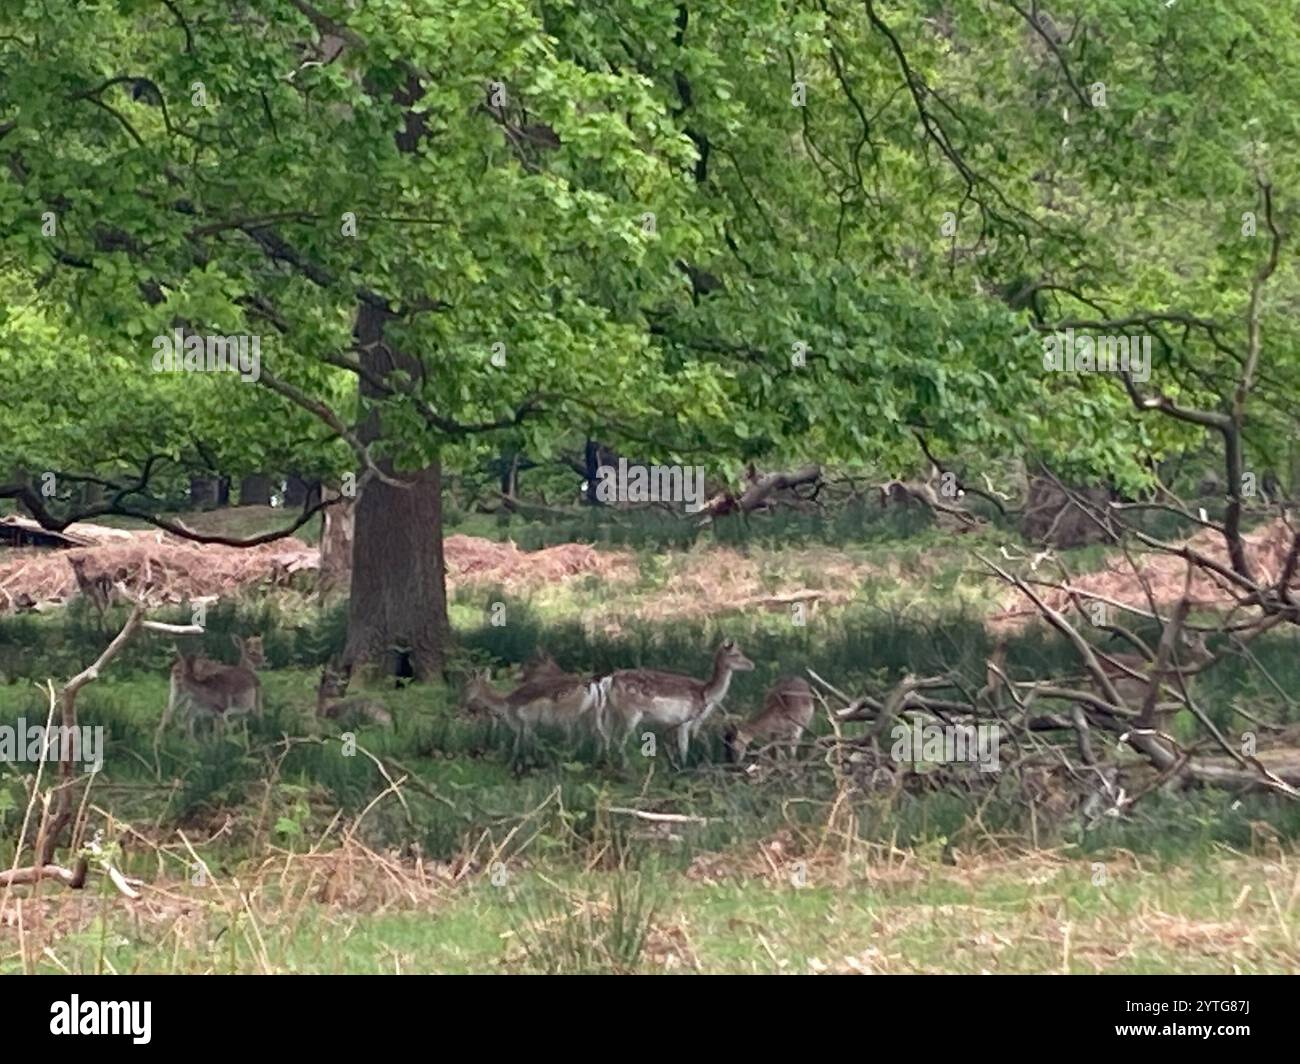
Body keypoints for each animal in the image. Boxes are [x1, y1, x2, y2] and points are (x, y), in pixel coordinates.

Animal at [602, 638, 755, 765]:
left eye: (742, 651)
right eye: (735, 654)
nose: (752, 664)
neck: (707, 694)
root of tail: (610, 680)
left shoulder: (693, 723)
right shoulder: (684, 721)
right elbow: (684, 749)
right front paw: (683, 768)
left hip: (613, 712)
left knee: (608, 736)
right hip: (631, 713)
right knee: (620, 740)